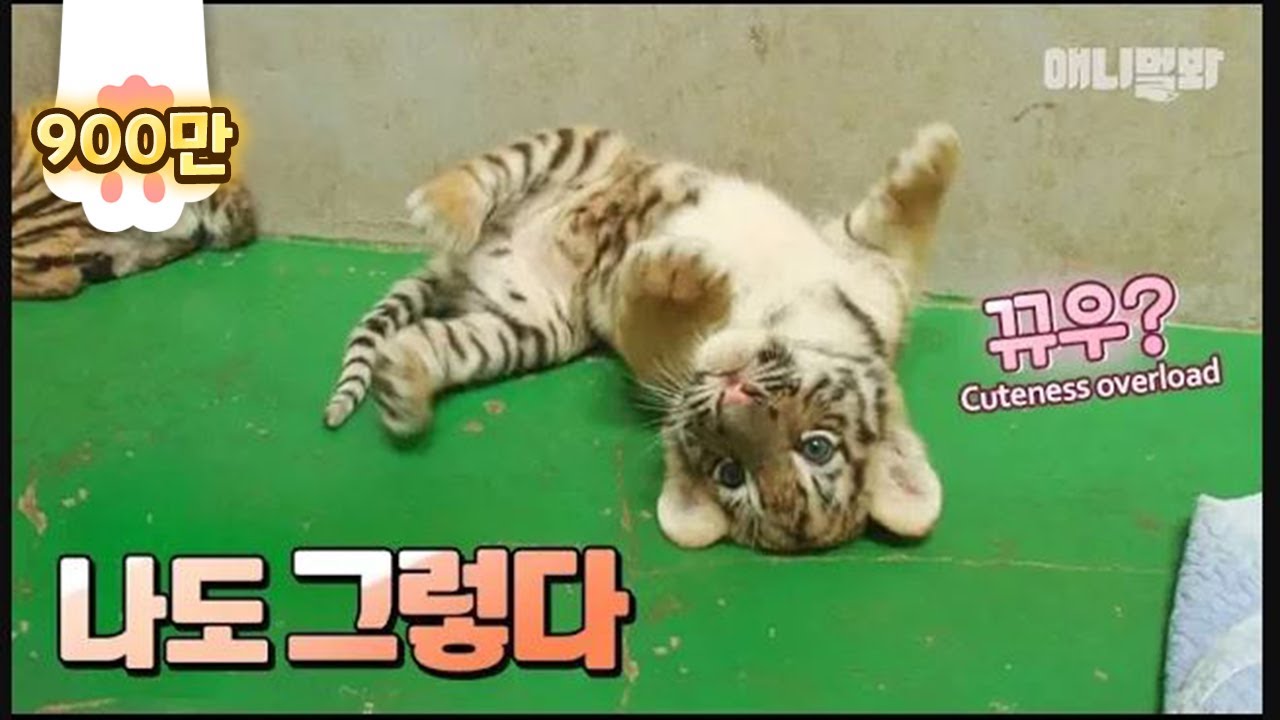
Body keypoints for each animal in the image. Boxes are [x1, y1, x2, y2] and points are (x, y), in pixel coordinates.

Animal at [323, 122, 960, 554]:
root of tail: (463, 264)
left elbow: (649, 319)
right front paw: (938, 152)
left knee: (434, 341)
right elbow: (904, 231)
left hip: (528, 328)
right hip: (584, 150)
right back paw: (443, 207)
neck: (776, 317)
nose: (733, 394)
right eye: (817, 445)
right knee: (497, 169)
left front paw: (672, 274)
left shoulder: (655, 363)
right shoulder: (872, 275)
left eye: (729, 473)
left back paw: (403, 386)